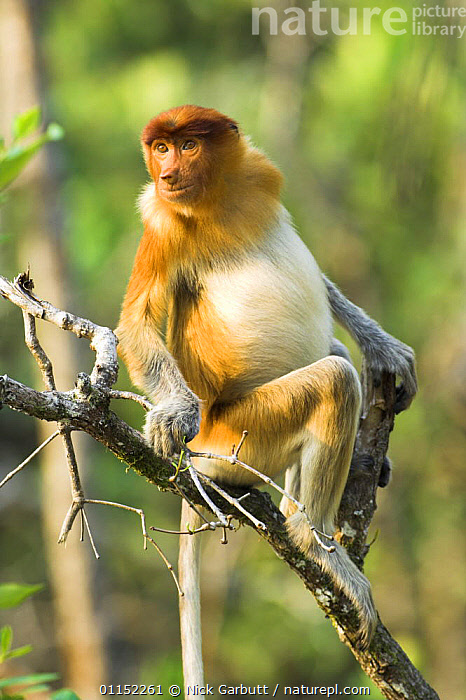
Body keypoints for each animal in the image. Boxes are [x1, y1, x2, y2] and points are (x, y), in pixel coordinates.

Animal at [116, 105, 417, 688]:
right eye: (160, 148)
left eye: (187, 144)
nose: (168, 175)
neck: (216, 198)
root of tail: (206, 450)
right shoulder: (161, 222)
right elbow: (135, 322)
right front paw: (173, 414)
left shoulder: (260, 176)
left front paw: (385, 348)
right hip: (245, 433)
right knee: (335, 380)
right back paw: (313, 541)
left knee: (336, 359)